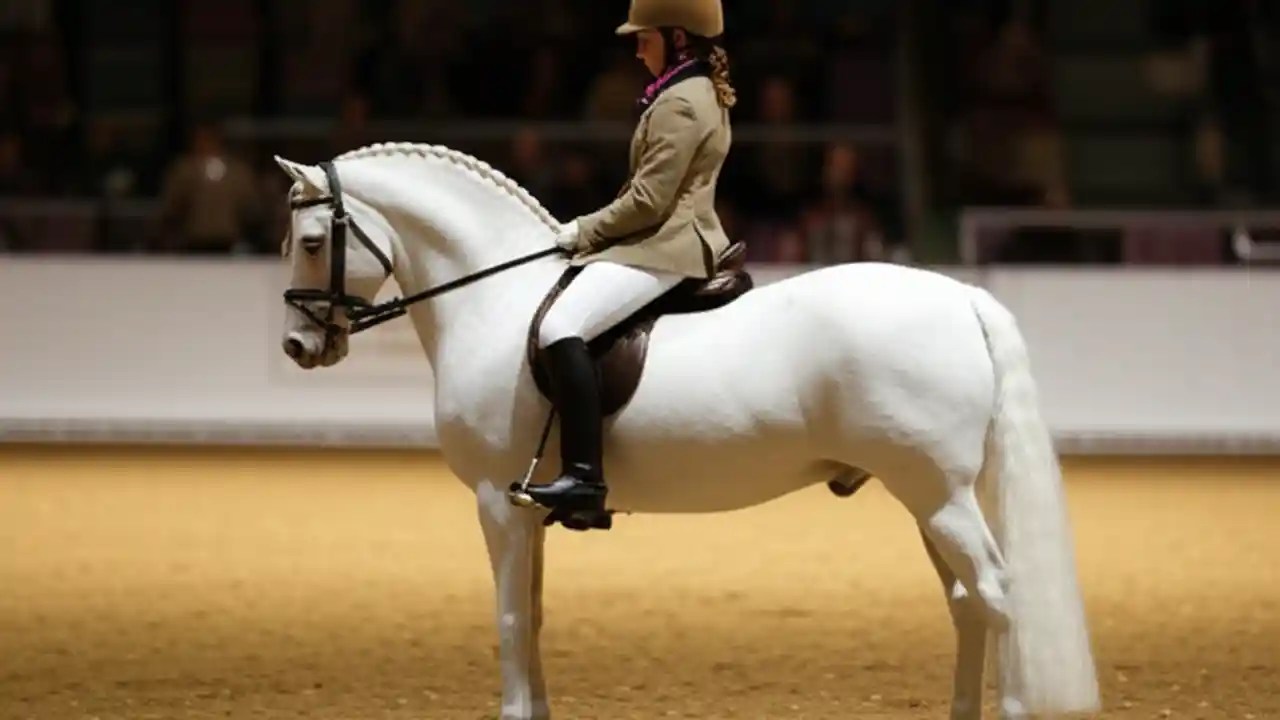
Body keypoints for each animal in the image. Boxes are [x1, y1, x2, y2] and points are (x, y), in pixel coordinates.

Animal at [272, 142, 1100, 720]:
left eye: (310, 242)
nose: (298, 348)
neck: (497, 302)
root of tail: (961, 295)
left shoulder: (496, 502)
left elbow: (508, 619)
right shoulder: (527, 510)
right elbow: (532, 618)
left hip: (938, 494)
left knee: (996, 594)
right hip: (930, 497)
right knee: (968, 603)